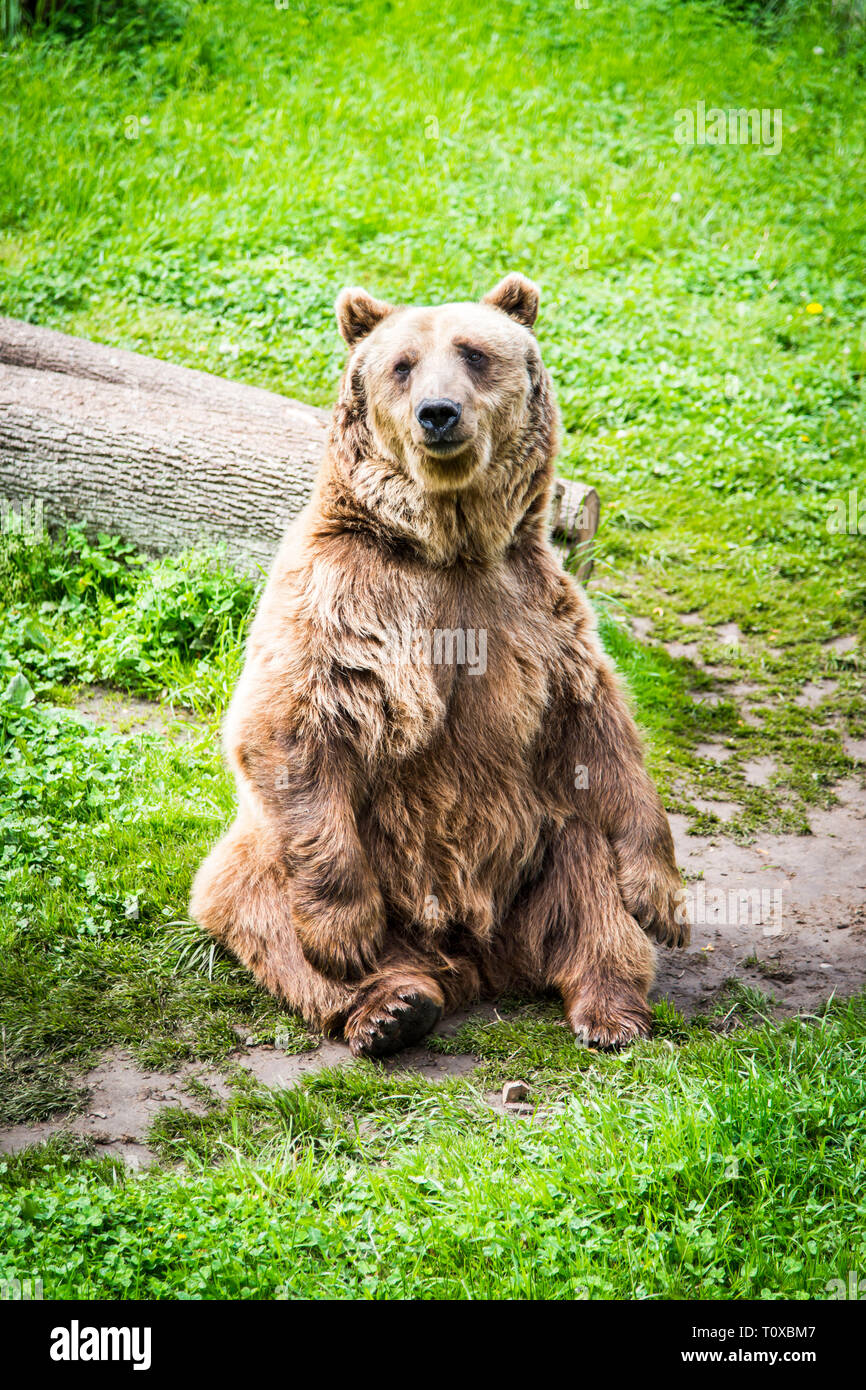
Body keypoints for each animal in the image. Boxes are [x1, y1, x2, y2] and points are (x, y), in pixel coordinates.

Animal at [190, 272, 688, 1057]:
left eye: (475, 353)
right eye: (401, 365)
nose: (438, 413)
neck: (451, 546)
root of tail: (473, 962)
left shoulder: (540, 611)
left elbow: (603, 735)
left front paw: (662, 899)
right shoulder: (337, 596)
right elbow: (288, 722)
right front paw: (345, 938)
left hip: (537, 849)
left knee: (589, 875)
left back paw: (611, 1010)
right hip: (297, 858)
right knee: (256, 893)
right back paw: (389, 1006)